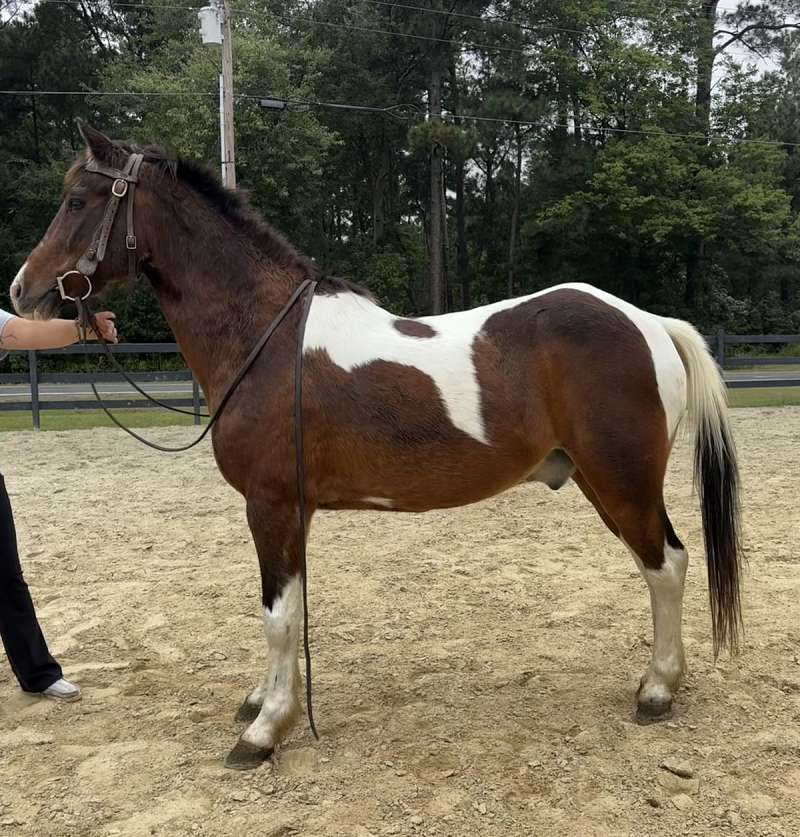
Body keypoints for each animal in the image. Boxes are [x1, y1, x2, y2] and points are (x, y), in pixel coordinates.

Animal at [10, 123, 742, 770]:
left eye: (78, 200)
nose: (23, 290)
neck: (266, 336)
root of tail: (647, 321)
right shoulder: (293, 510)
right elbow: (289, 606)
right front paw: (266, 701)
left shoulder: (269, 504)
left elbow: (277, 614)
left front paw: (265, 730)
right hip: (601, 480)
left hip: (622, 482)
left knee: (666, 566)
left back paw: (658, 689)